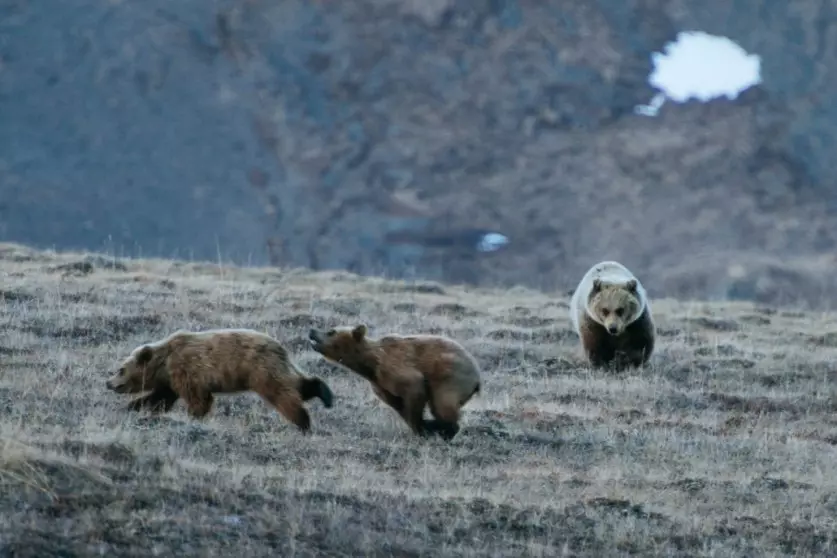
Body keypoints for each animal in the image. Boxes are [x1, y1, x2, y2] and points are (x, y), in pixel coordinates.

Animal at [106, 328, 334, 434]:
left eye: (120, 369)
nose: (108, 382)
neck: (164, 363)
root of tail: (280, 347)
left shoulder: (188, 371)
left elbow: (199, 400)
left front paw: (193, 416)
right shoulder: (170, 381)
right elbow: (160, 398)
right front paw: (133, 407)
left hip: (258, 369)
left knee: (281, 393)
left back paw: (303, 421)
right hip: (268, 368)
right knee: (296, 385)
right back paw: (324, 394)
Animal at [306, 326, 480, 444]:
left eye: (331, 331)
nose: (312, 330)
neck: (370, 366)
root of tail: (477, 379)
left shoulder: (395, 369)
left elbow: (414, 390)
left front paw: (423, 427)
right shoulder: (381, 384)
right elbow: (398, 405)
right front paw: (422, 427)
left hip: (449, 377)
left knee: (442, 404)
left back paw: (446, 429)